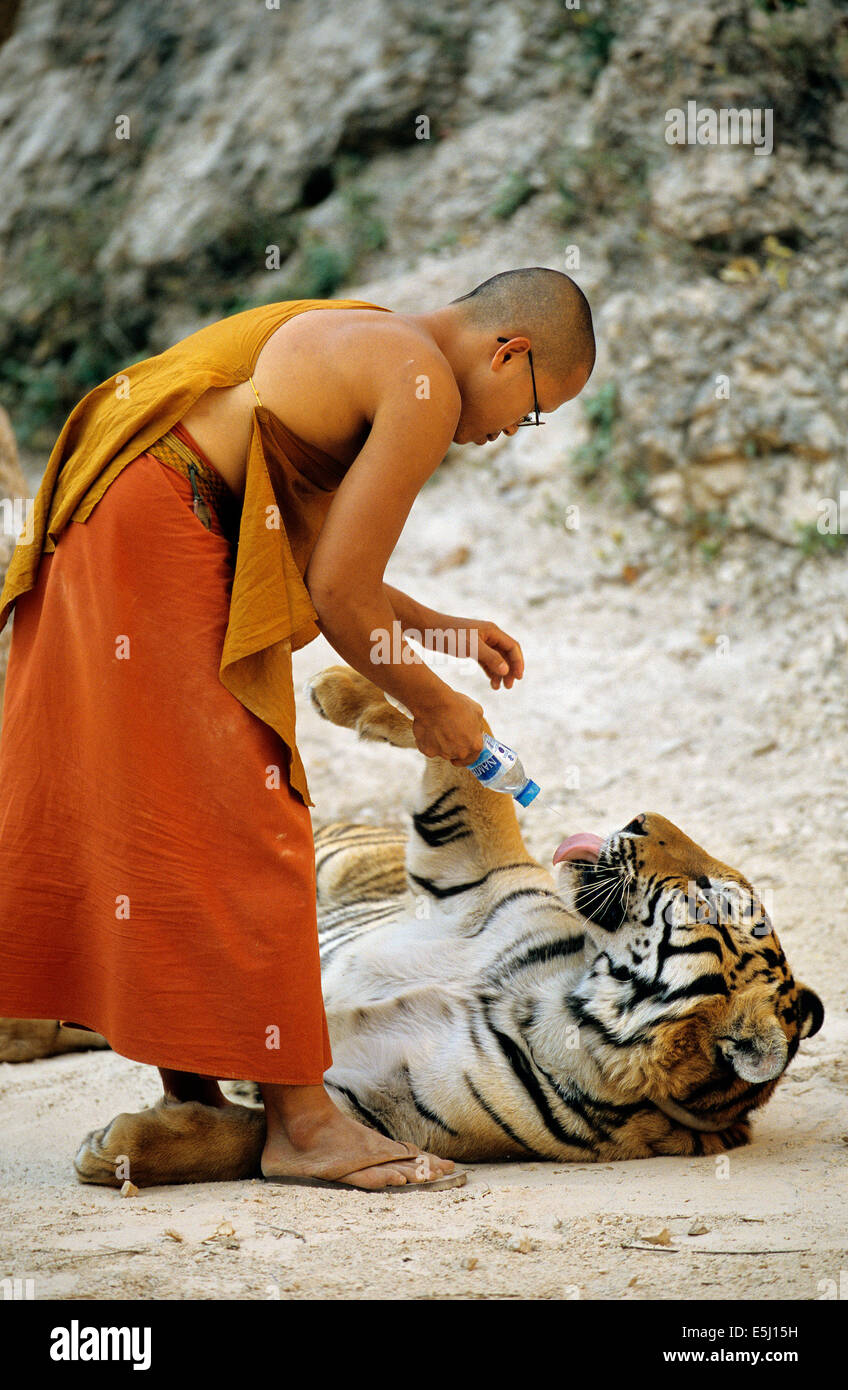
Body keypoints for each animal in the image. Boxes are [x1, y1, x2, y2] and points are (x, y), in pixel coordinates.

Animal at [70, 664, 823, 1187]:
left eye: (713, 894)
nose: (642, 817)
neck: (581, 991)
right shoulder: (475, 871)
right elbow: (466, 757)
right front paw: (348, 686)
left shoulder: (380, 1104)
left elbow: (260, 1138)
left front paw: (120, 1149)